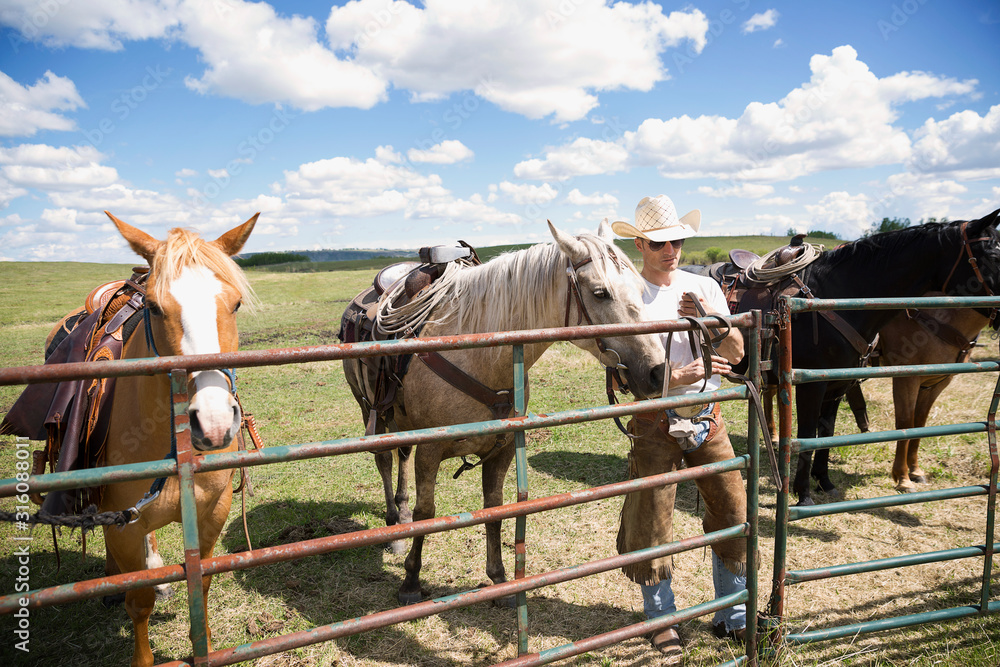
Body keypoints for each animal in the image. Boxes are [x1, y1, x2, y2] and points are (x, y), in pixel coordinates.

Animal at [97, 212, 258, 666]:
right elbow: (139, 603)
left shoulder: (213, 513)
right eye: (154, 307)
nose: (214, 423)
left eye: (235, 304)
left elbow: (201, 582)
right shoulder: (122, 528)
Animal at [342, 220, 666, 605]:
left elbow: (495, 509)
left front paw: (499, 579)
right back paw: (394, 526)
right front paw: (410, 581)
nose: (657, 371)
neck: (480, 355)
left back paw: (401, 512)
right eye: (600, 293)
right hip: (371, 410)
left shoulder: (503, 448)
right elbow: (427, 512)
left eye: (641, 288)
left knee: (401, 457)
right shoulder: (430, 449)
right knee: (385, 460)